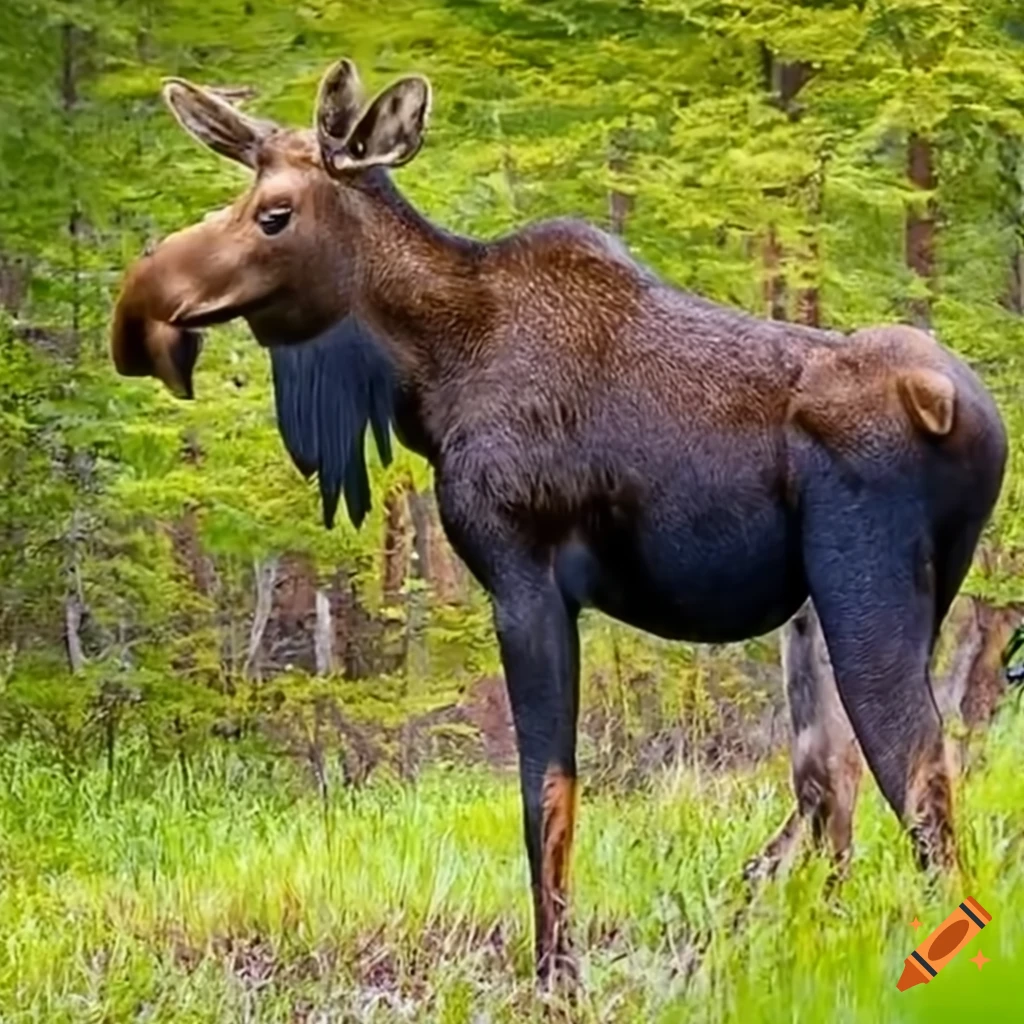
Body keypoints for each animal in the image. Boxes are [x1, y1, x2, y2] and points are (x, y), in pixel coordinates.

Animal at [109, 58, 1007, 986]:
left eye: (274, 213)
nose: (148, 305)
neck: (426, 374)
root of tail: (965, 410)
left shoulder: (522, 573)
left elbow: (544, 789)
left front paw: (555, 975)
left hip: (863, 585)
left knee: (919, 779)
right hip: (864, 605)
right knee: (837, 779)